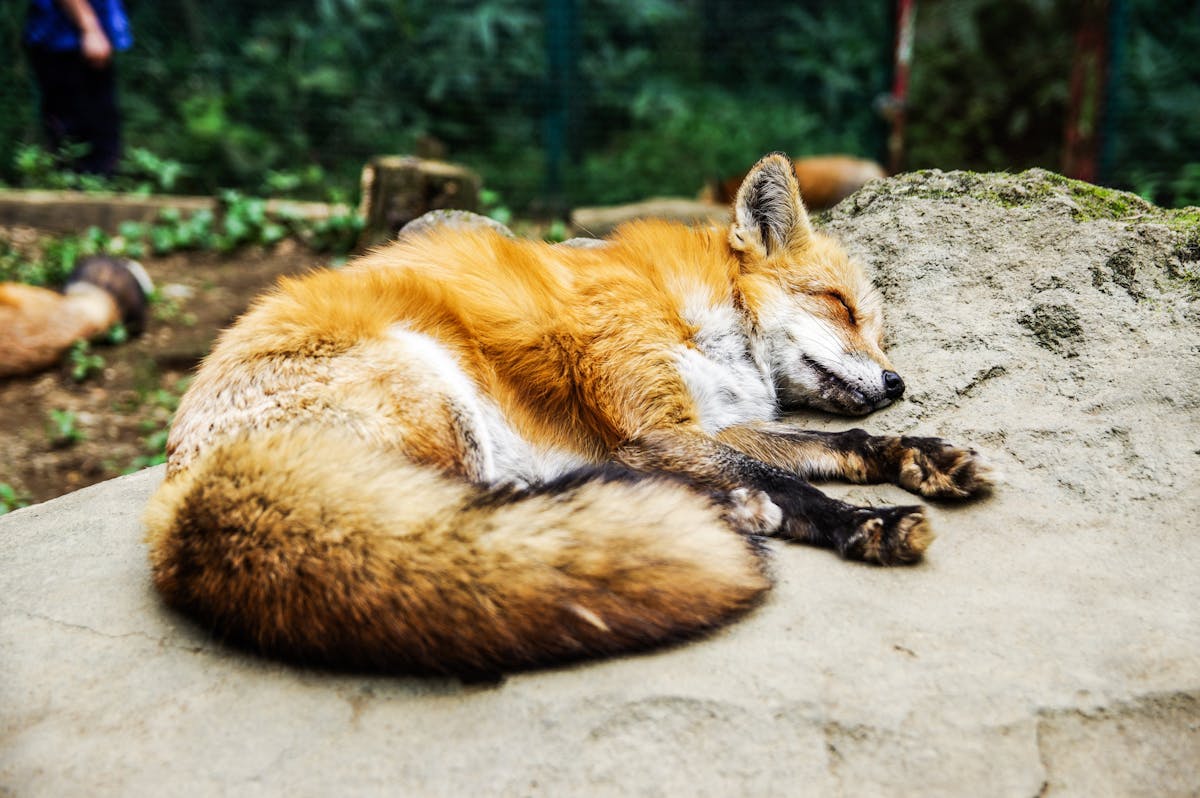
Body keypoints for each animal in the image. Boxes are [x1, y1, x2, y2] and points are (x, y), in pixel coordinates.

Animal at [143, 153, 992, 676]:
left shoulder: (706, 426)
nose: (896, 380)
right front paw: (866, 523)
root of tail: (181, 491)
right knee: (473, 519)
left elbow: (838, 445)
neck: (697, 313)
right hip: (434, 392)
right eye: (842, 307)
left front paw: (919, 455)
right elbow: (795, 484)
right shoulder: (651, 430)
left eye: (879, 330)